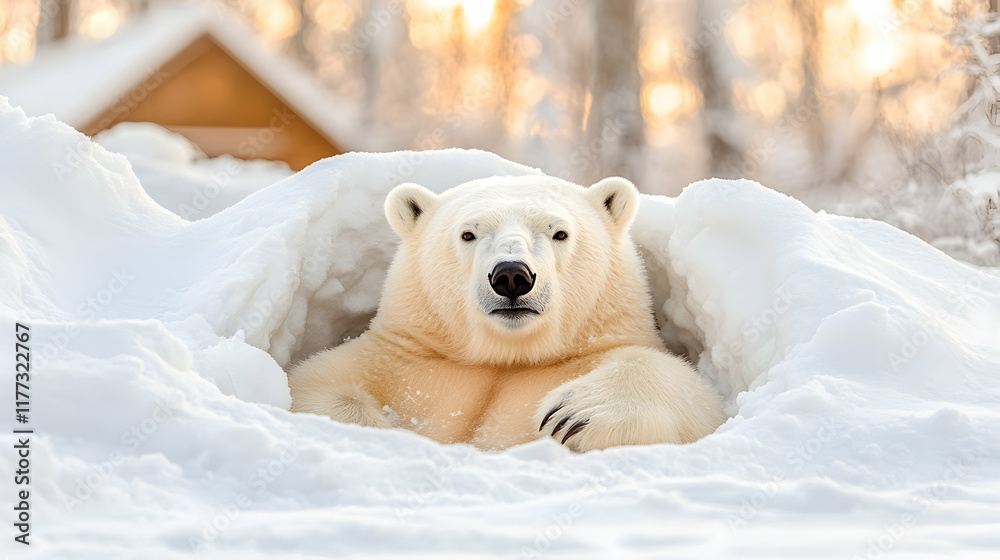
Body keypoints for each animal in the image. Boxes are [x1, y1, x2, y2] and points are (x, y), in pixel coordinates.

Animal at [288, 175, 724, 452]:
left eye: (559, 232)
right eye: (468, 233)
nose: (512, 276)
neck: (506, 358)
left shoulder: (598, 349)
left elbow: (693, 397)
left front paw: (571, 416)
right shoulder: (402, 360)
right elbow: (312, 385)